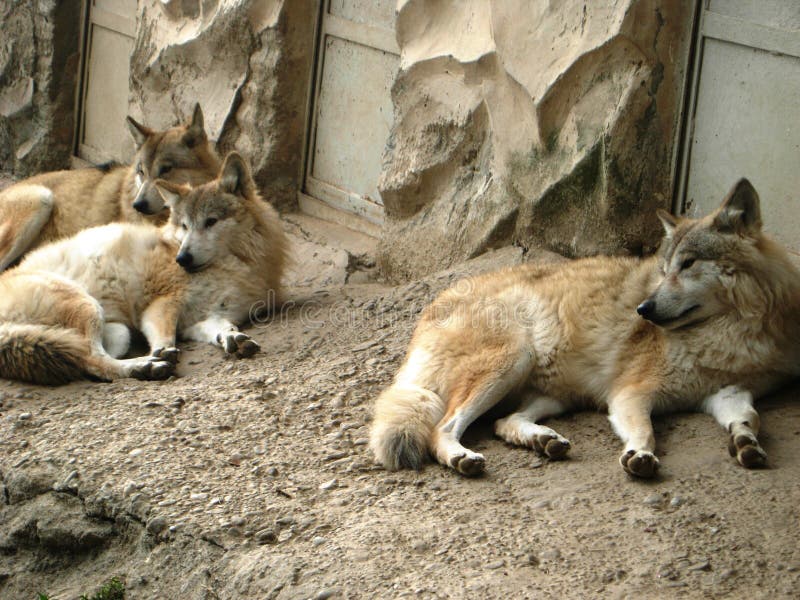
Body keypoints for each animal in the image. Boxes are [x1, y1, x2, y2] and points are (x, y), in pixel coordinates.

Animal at [0, 152, 286, 385]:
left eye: (211, 221)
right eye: (184, 226)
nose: (182, 258)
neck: (234, 266)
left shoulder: (202, 317)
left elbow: (224, 328)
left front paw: (232, 339)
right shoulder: (163, 304)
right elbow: (164, 337)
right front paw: (162, 352)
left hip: (117, 332)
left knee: (89, 363)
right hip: (85, 303)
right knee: (93, 360)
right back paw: (146, 366)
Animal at [370, 179, 800, 478]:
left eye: (688, 264)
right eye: (665, 269)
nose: (643, 309)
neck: (731, 331)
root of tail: (434, 305)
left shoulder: (728, 392)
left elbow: (750, 419)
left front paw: (745, 444)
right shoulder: (629, 393)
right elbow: (646, 431)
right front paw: (641, 456)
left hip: (554, 395)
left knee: (502, 423)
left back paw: (544, 441)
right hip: (514, 360)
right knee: (441, 429)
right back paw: (463, 458)